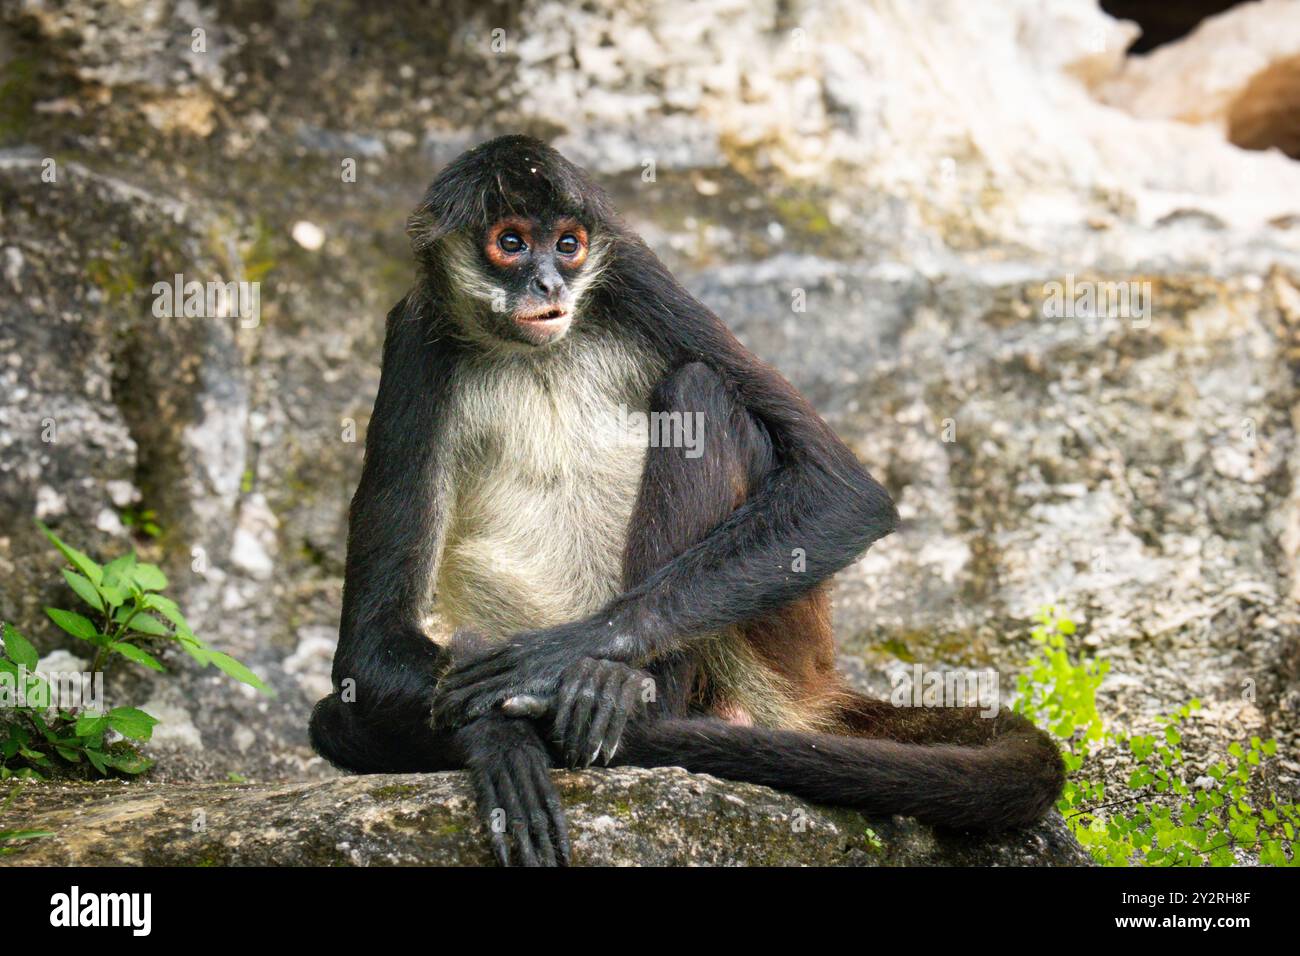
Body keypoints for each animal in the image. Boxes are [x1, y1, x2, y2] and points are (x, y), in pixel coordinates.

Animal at [309, 135, 1065, 866]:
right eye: (512, 242)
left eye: (567, 245)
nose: (551, 282)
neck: (533, 351)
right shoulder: (413, 335)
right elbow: (367, 657)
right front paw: (500, 741)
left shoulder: (636, 277)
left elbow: (846, 490)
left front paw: (559, 659)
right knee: (334, 720)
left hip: (770, 646)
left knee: (702, 391)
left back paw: (627, 695)